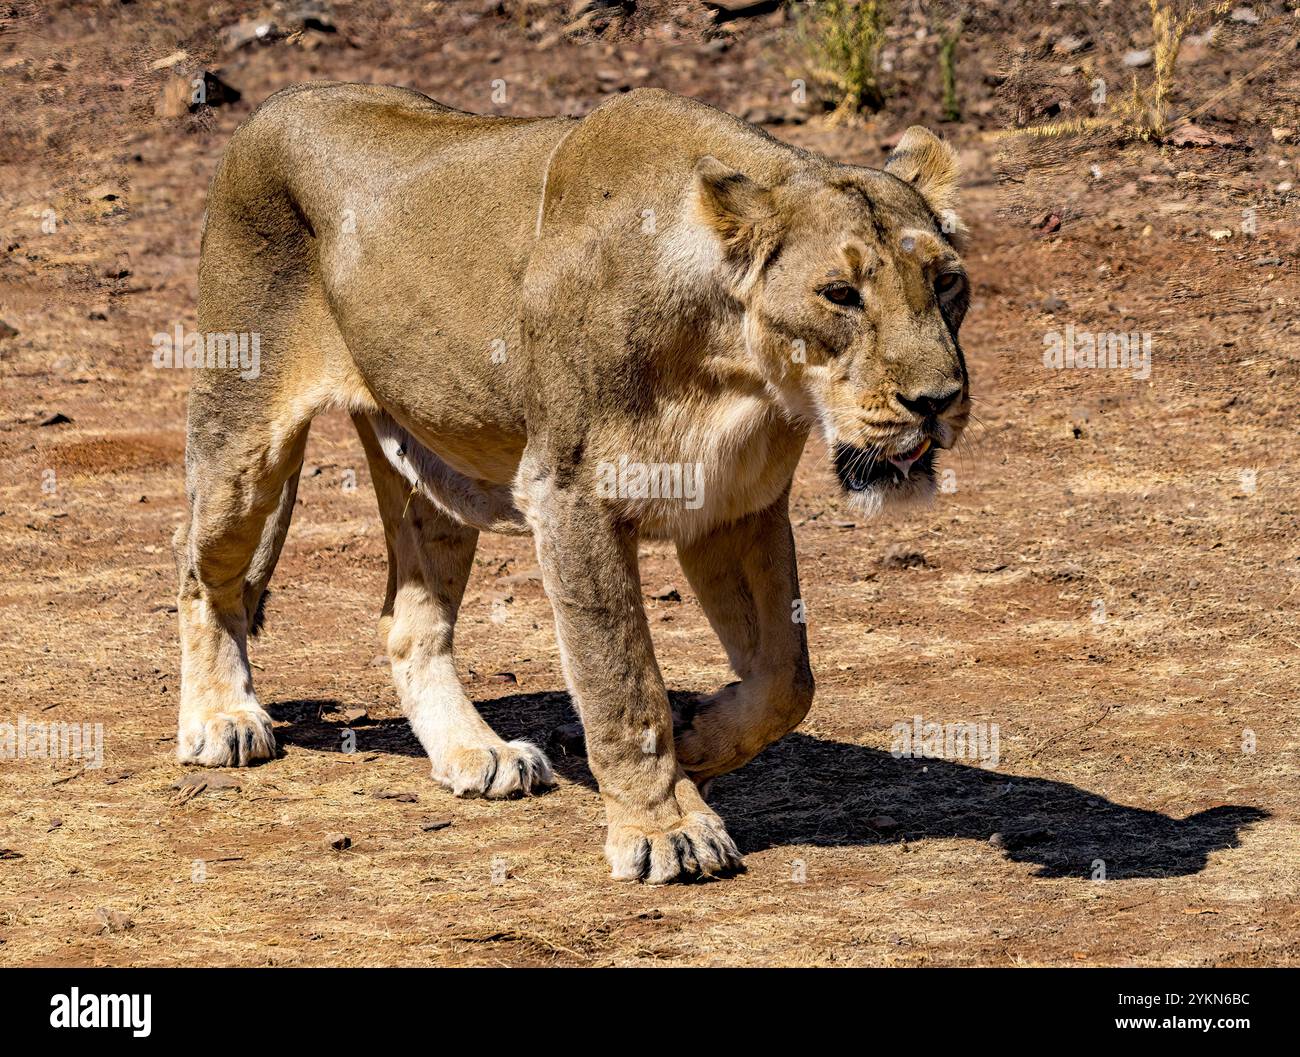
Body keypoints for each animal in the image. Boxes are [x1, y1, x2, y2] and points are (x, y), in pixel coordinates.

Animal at [174, 83, 971, 884]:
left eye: (946, 282)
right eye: (839, 293)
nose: (937, 401)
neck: (736, 362)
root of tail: (278, 103)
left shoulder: (734, 505)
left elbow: (787, 678)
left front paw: (700, 738)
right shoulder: (571, 495)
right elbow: (622, 679)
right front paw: (664, 829)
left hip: (432, 475)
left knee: (408, 623)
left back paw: (478, 753)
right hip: (244, 439)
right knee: (198, 568)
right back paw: (222, 721)